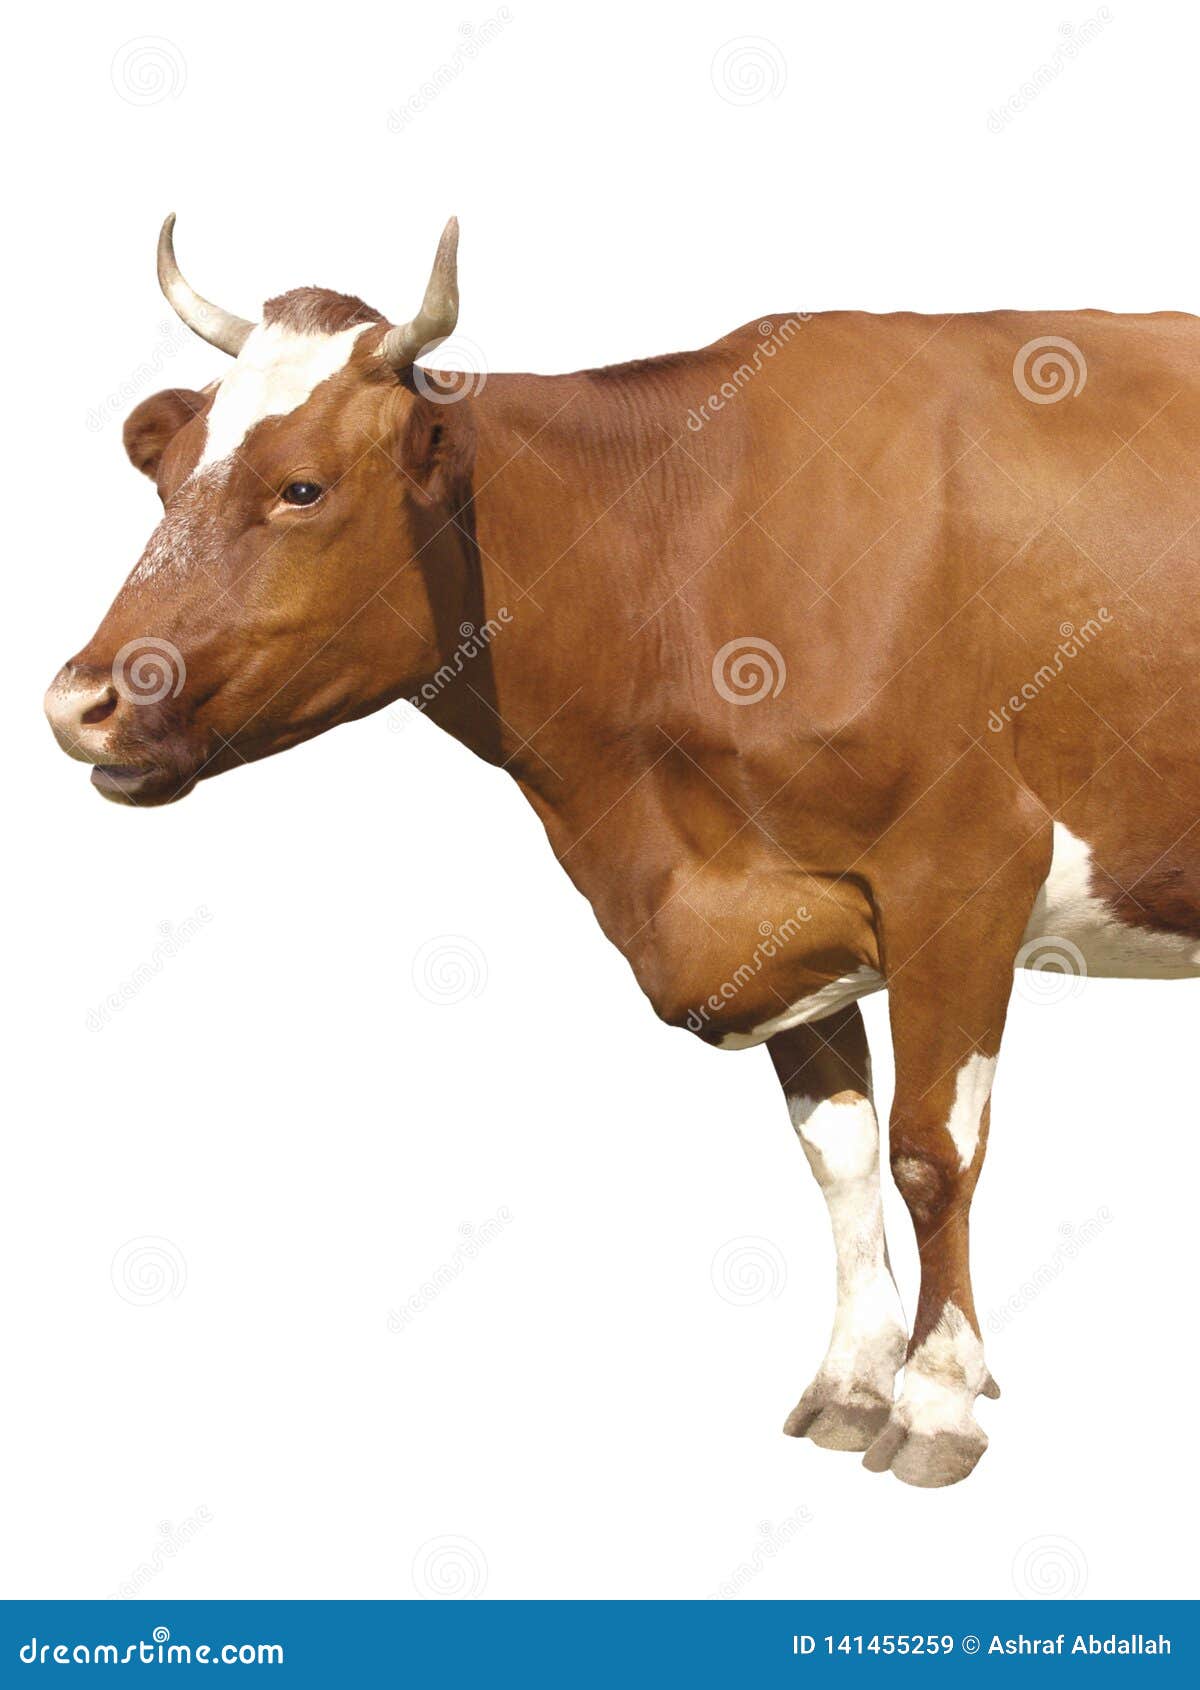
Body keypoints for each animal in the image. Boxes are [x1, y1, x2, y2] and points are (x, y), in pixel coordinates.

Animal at [46, 218, 1200, 1487]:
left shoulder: (963, 866)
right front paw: (852, 1383)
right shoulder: (768, 910)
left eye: (301, 486)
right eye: (164, 481)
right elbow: (840, 1155)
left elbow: (930, 1151)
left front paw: (938, 1400)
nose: (78, 703)